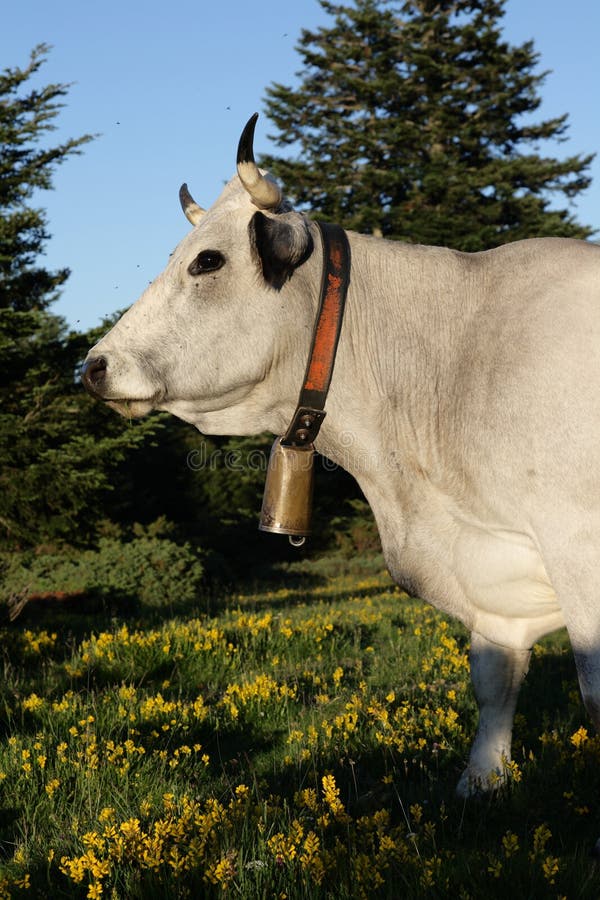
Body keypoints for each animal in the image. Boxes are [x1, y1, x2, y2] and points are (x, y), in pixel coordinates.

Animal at [82, 114, 600, 822]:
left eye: (207, 260)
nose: (93, 367)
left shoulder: (578, 546)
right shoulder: (493, 575)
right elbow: (494, 681)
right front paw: (481, 785)